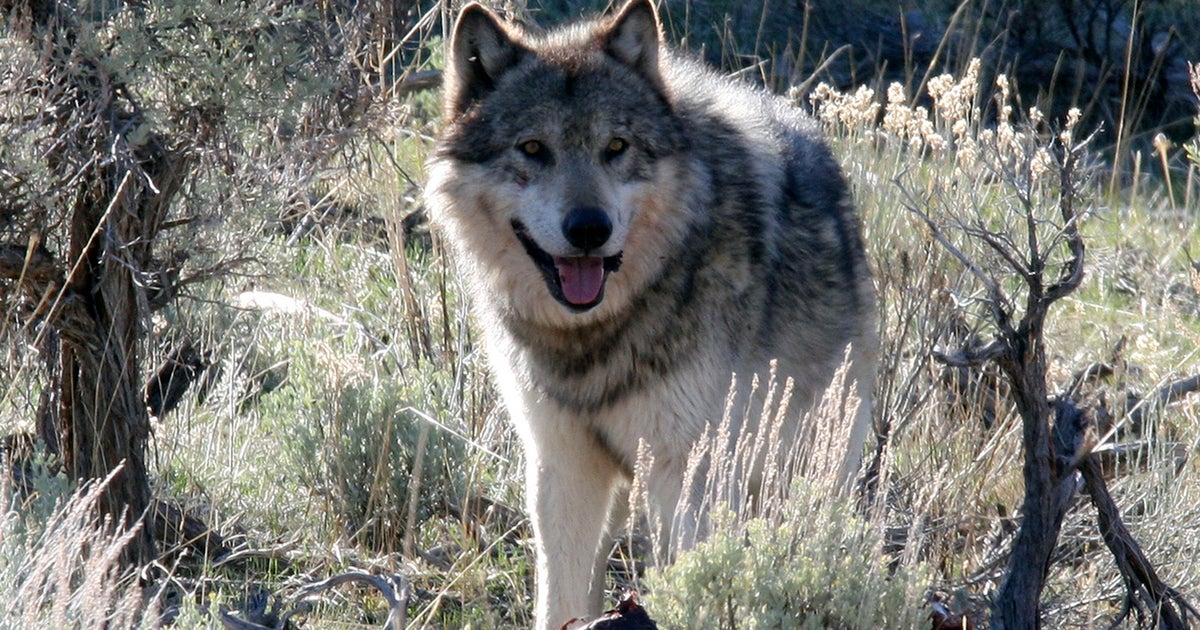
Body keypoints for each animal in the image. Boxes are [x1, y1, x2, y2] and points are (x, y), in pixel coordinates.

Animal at [424, 1, 878, 627]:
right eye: (533, 149)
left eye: (616, 147)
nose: (589, 229)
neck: (597, 334)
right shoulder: (562, 466)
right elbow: (559, 600)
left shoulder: (687, 476)